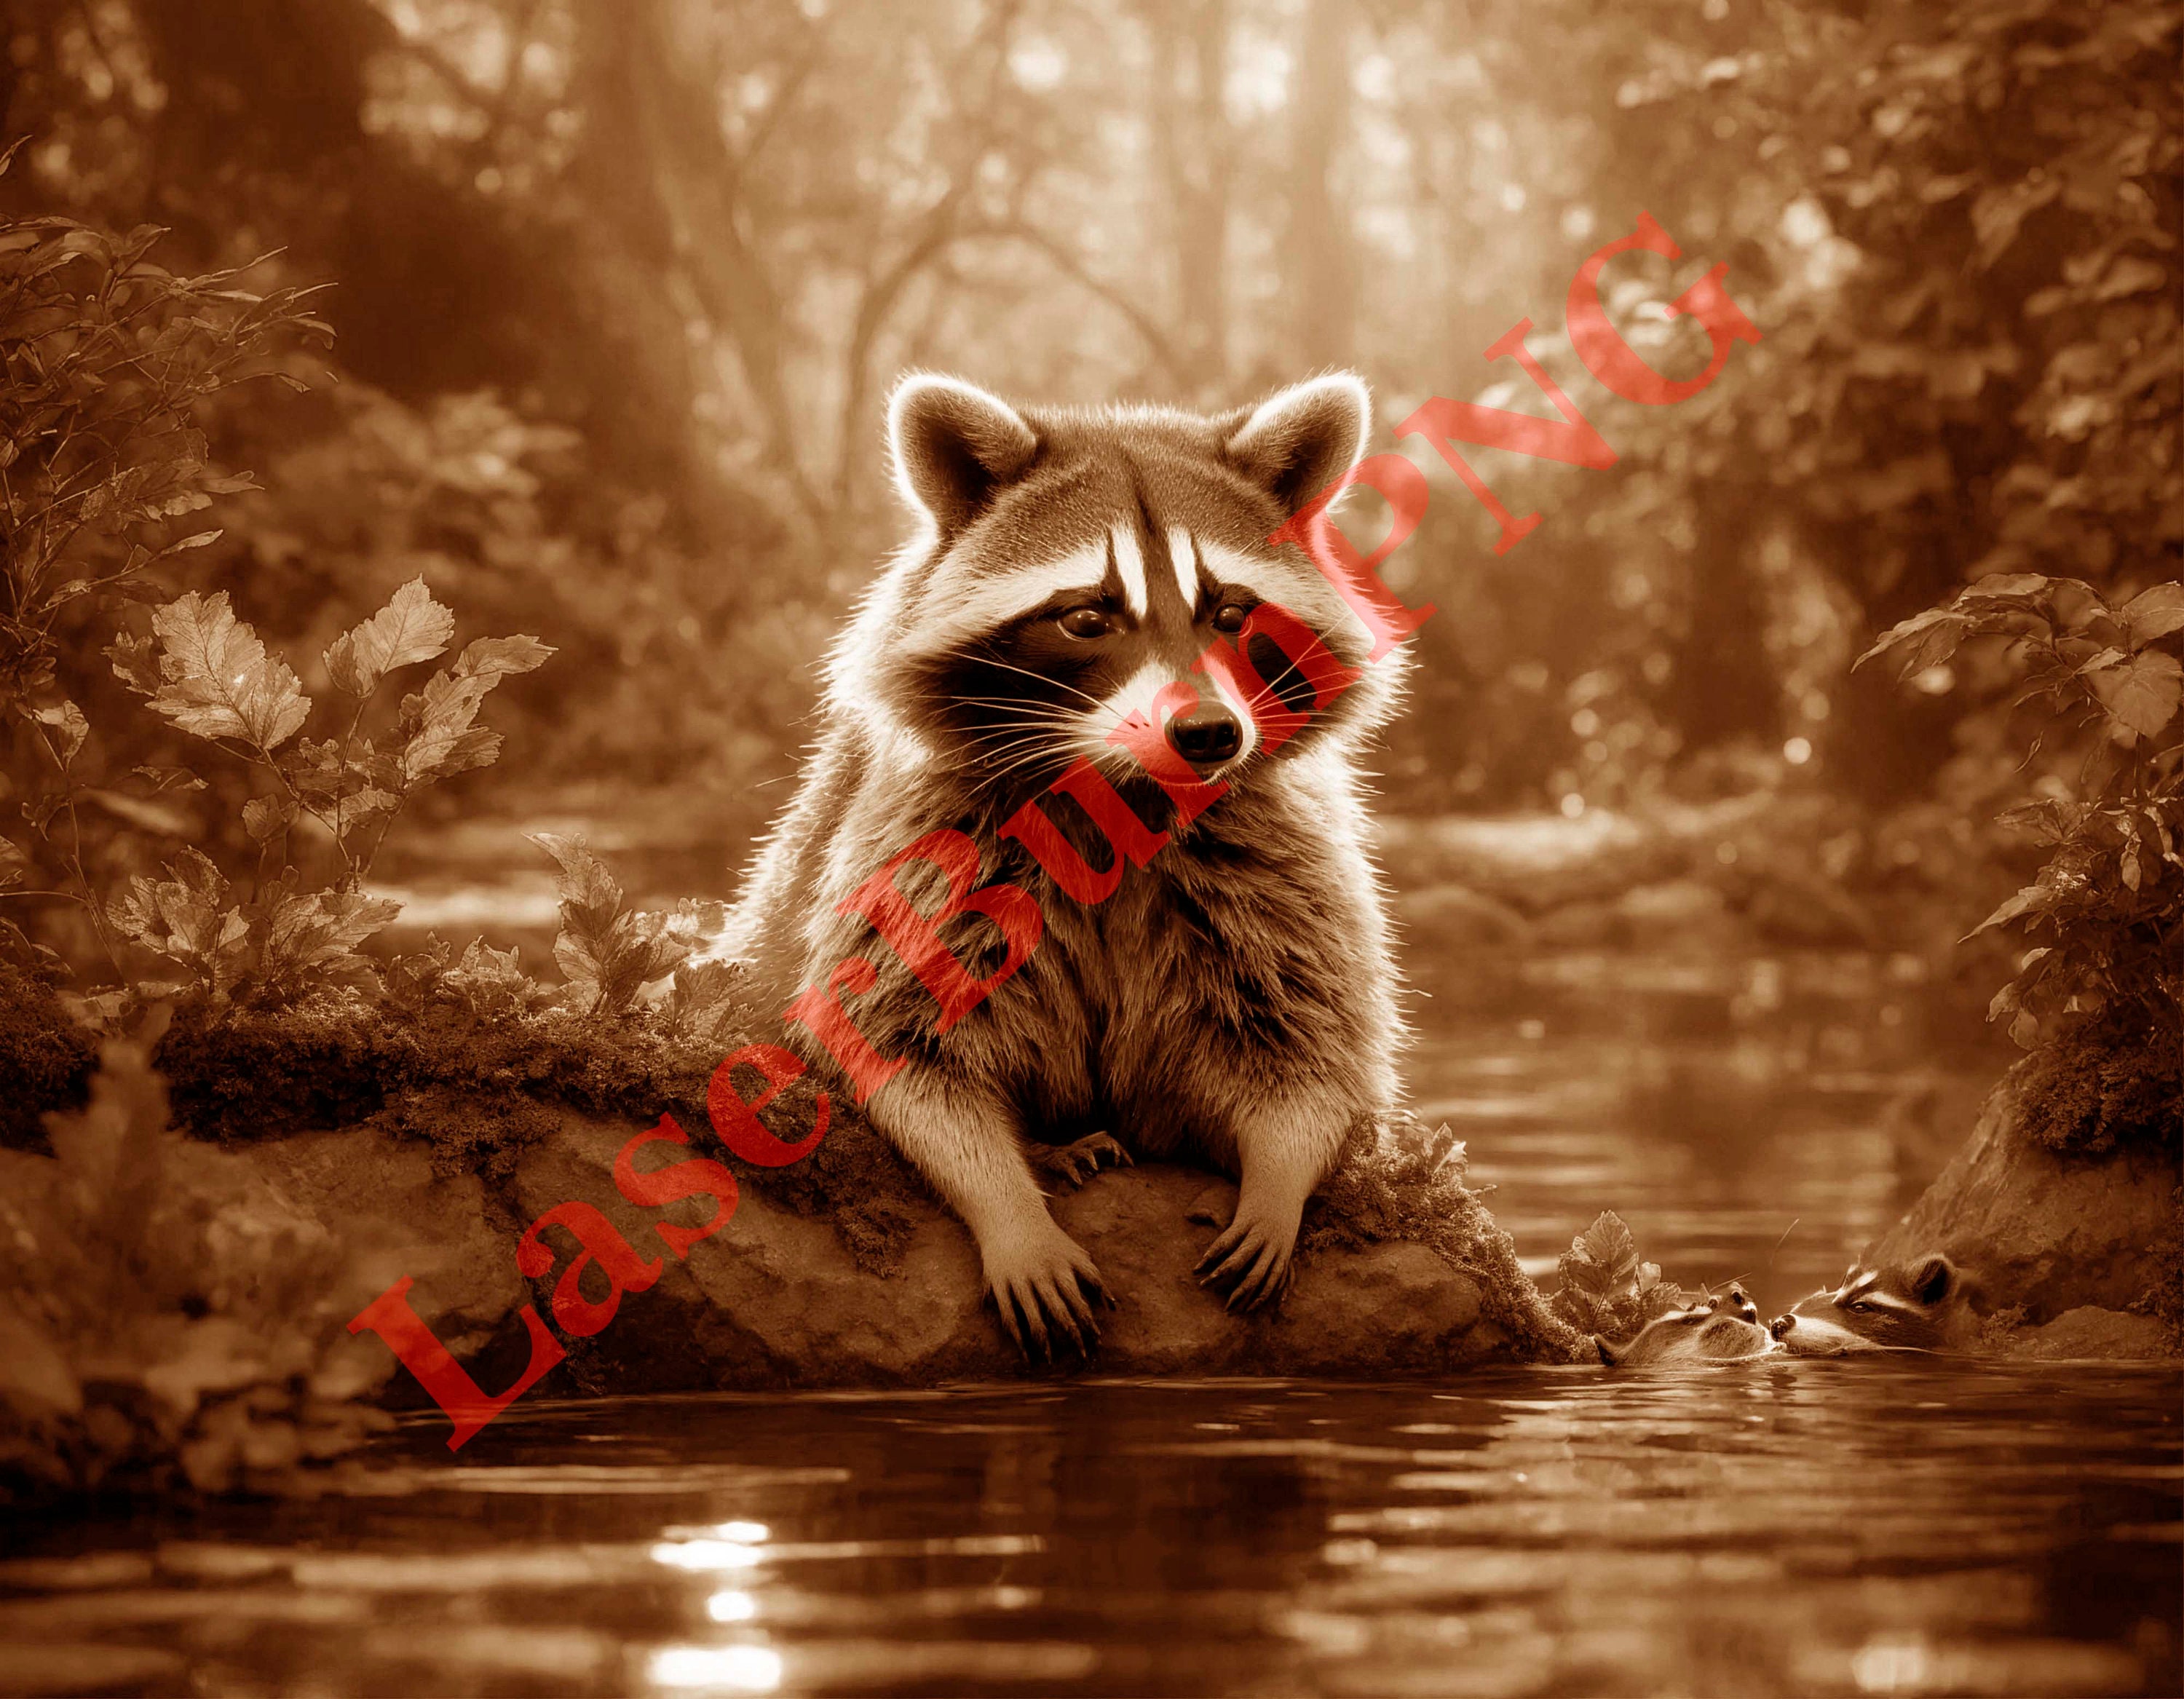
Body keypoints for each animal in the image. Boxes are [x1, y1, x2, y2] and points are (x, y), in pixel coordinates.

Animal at [711, 372, 1407, 1357]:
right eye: (1087, 617)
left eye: (1231, 613)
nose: (1208, 734)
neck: (1123, 791)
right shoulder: (926, 844)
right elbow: (901, 1044)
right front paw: (1009, 1205)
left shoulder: (1277, 854)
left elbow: (1304, 1042)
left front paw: (1279, 1178)